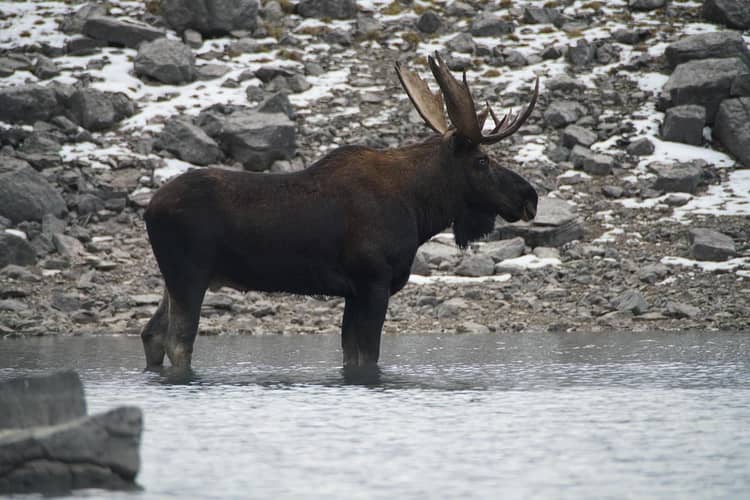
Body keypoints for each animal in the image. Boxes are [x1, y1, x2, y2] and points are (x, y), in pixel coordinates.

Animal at [141, 53, 539, 370]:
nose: (530, 197)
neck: (419, 208)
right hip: (190, 274)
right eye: (482, 160)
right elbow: (369, 355)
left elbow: (352, 356)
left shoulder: (352, 292)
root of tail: (148, 210)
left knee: (151, 333)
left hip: (176, 279)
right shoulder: (373, 280)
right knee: (179, 342)